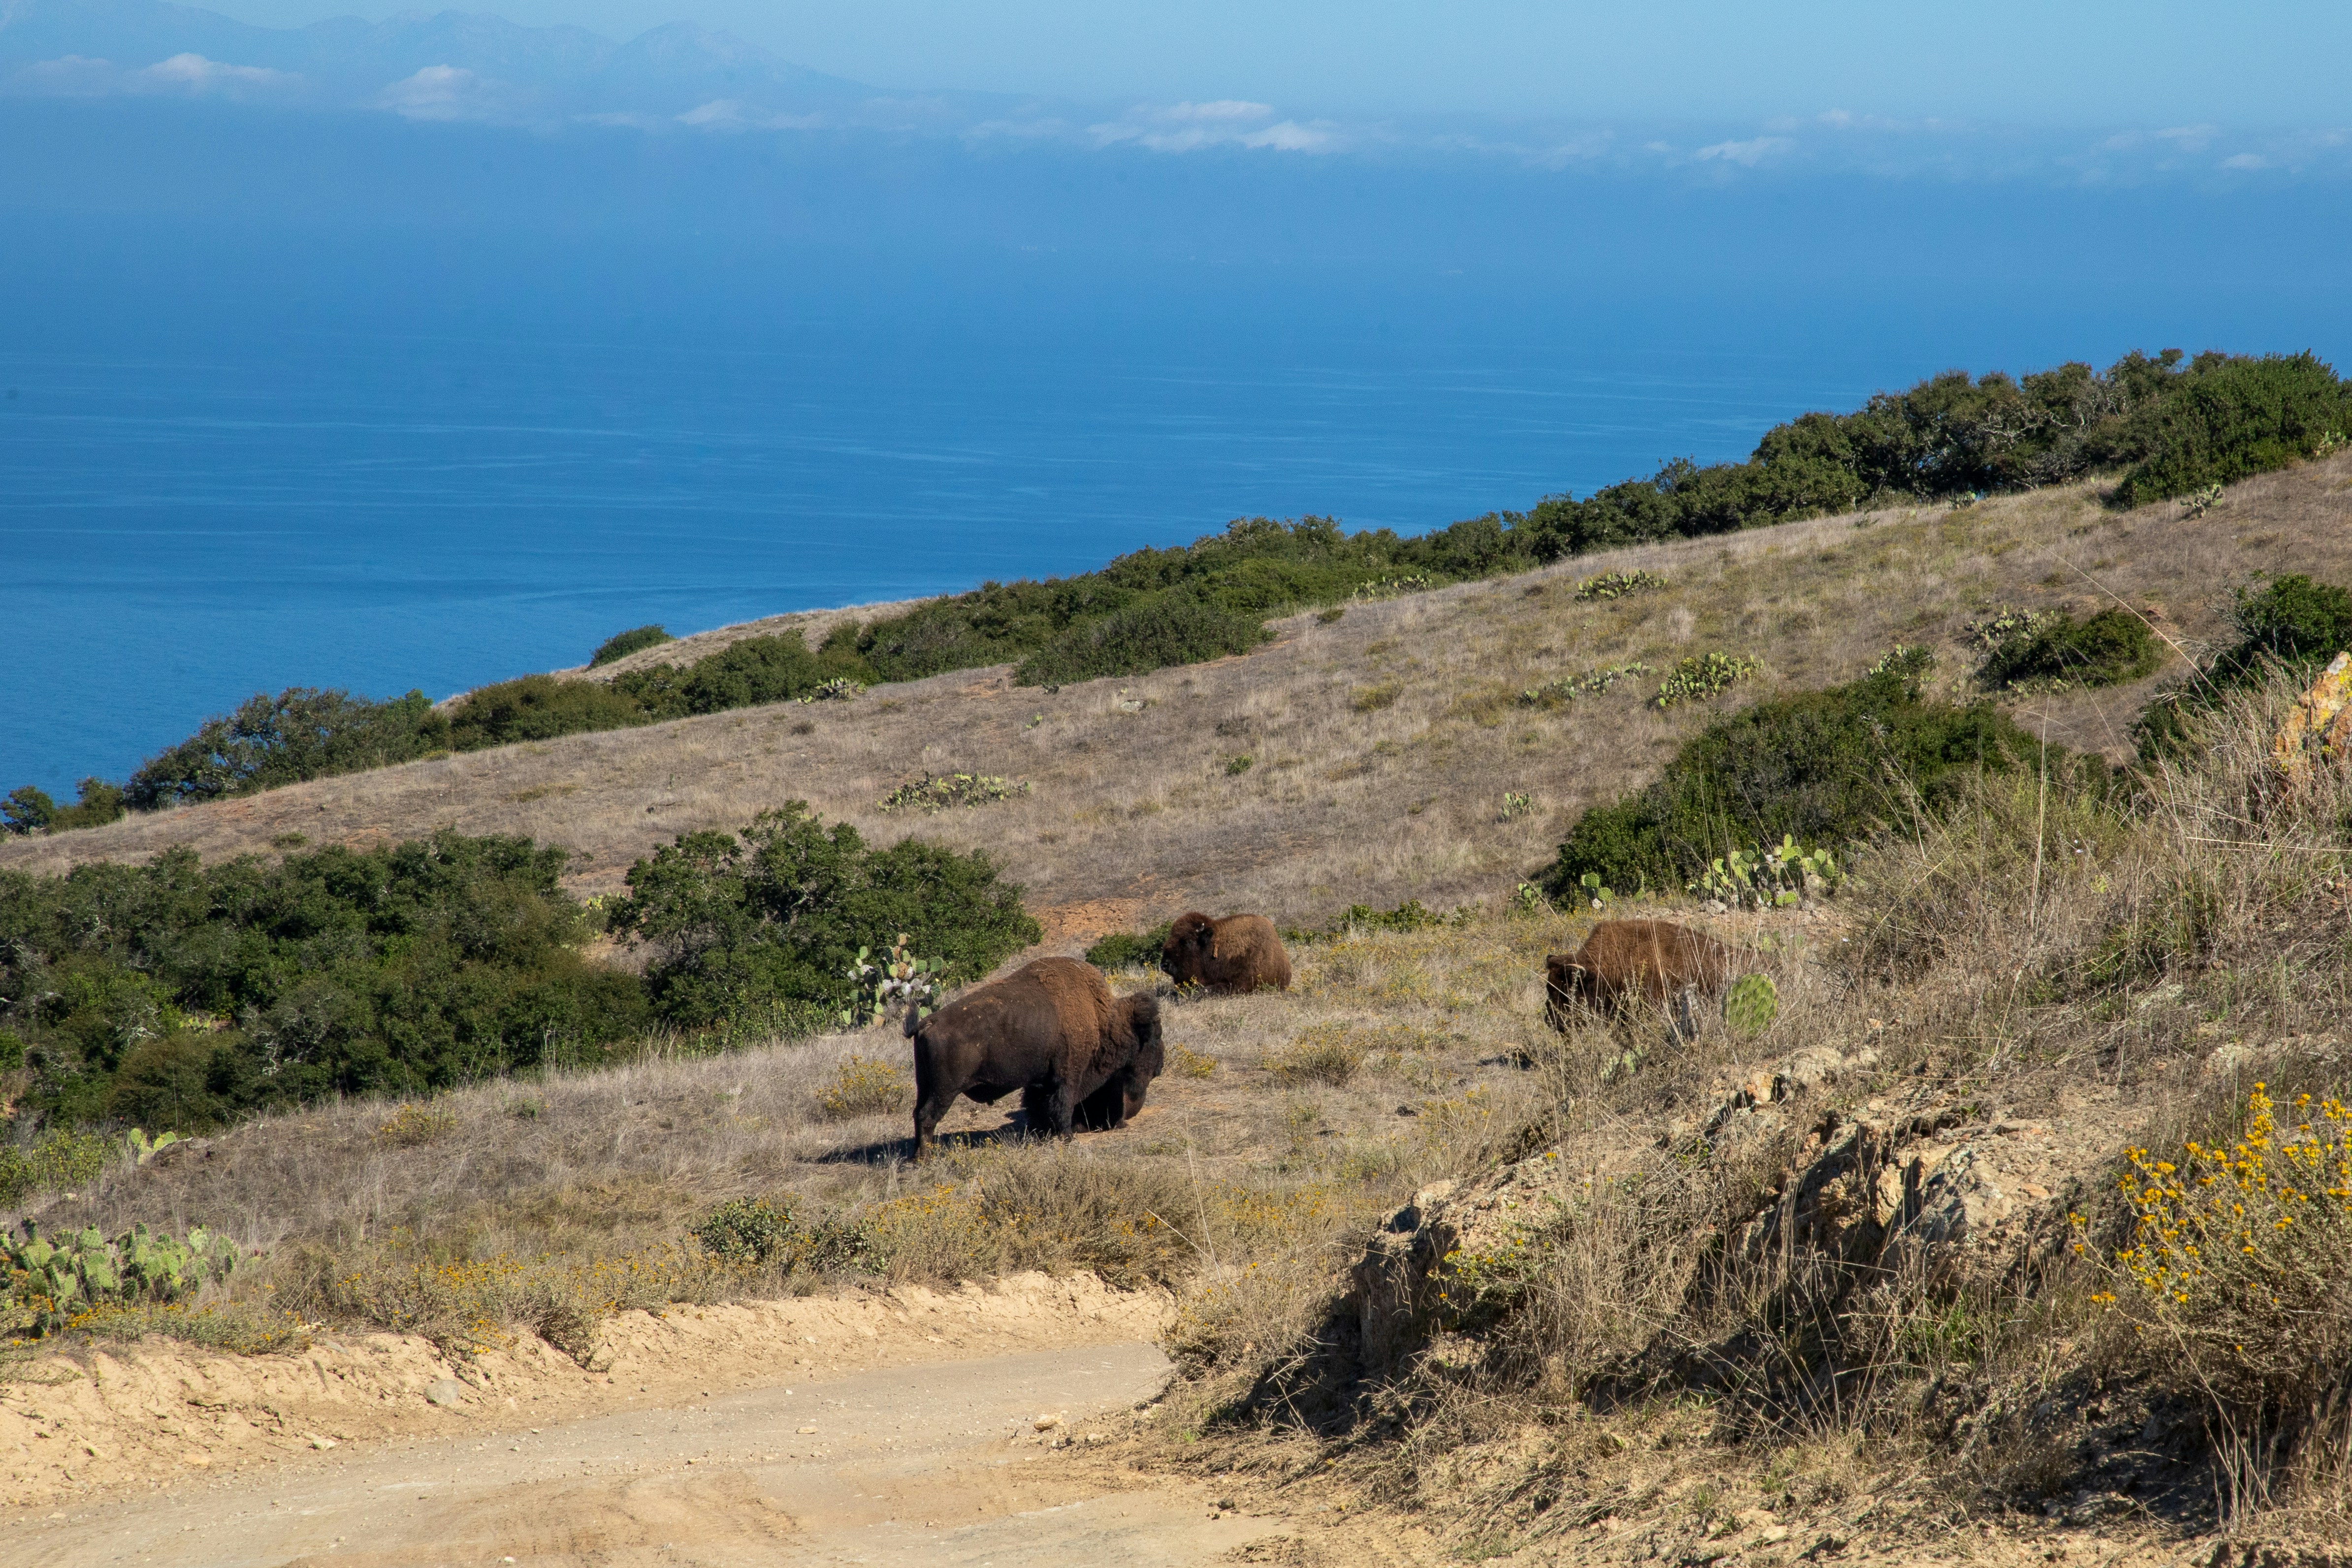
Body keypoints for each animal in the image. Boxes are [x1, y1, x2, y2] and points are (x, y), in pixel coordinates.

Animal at [906, 957, 1163, 1155]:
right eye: (1155, 1036)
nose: (1159, 1067)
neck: (1105, 1020)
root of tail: (928, 1022)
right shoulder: (1069, 1076)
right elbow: (1063, 1105)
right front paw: (1067, 1138)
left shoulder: (1044, 1082)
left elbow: (1042, 1105)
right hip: (945, 1090)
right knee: (928, 1117)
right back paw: (926, 1158)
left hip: (925, 1085)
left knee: (918, 1114)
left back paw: (916, 1156)